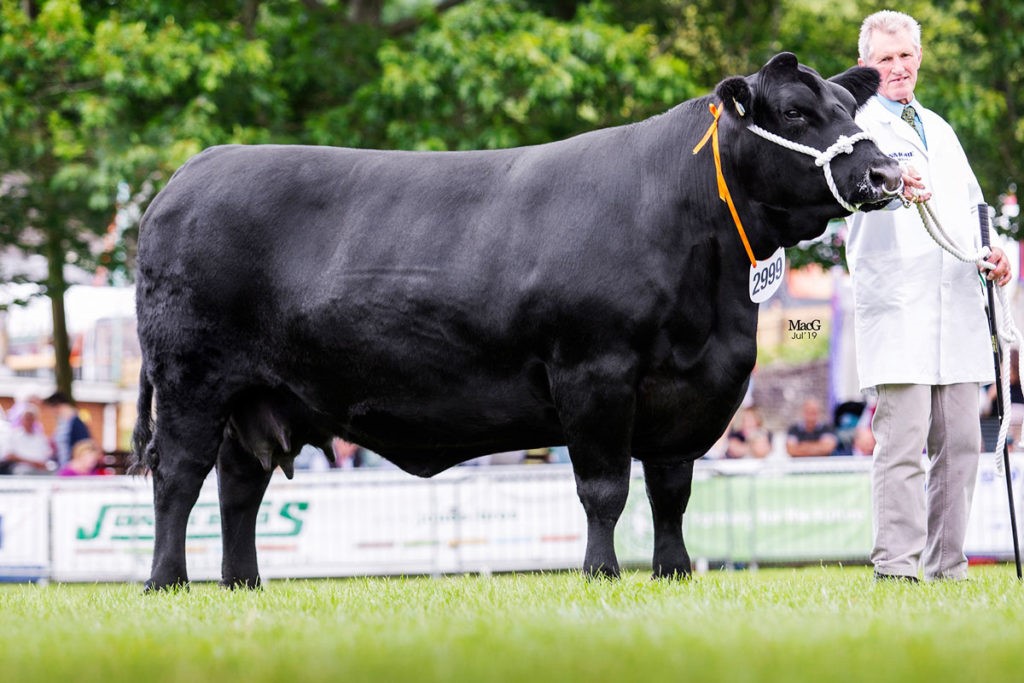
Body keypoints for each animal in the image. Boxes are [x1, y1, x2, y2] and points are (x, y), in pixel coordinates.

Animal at [131, 53, 902, 590]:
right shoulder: (594, 370)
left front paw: (674, 571)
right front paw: (601, 573)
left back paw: (243, 583)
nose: (885, 174)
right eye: (796, 113)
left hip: (257, 395)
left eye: (848, 108)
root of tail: (191, 173)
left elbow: (671, 490)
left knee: (239, 483)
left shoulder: (693, 388)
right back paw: (167, 582)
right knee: (180, 475)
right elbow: (604, 487)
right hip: (192, 379)